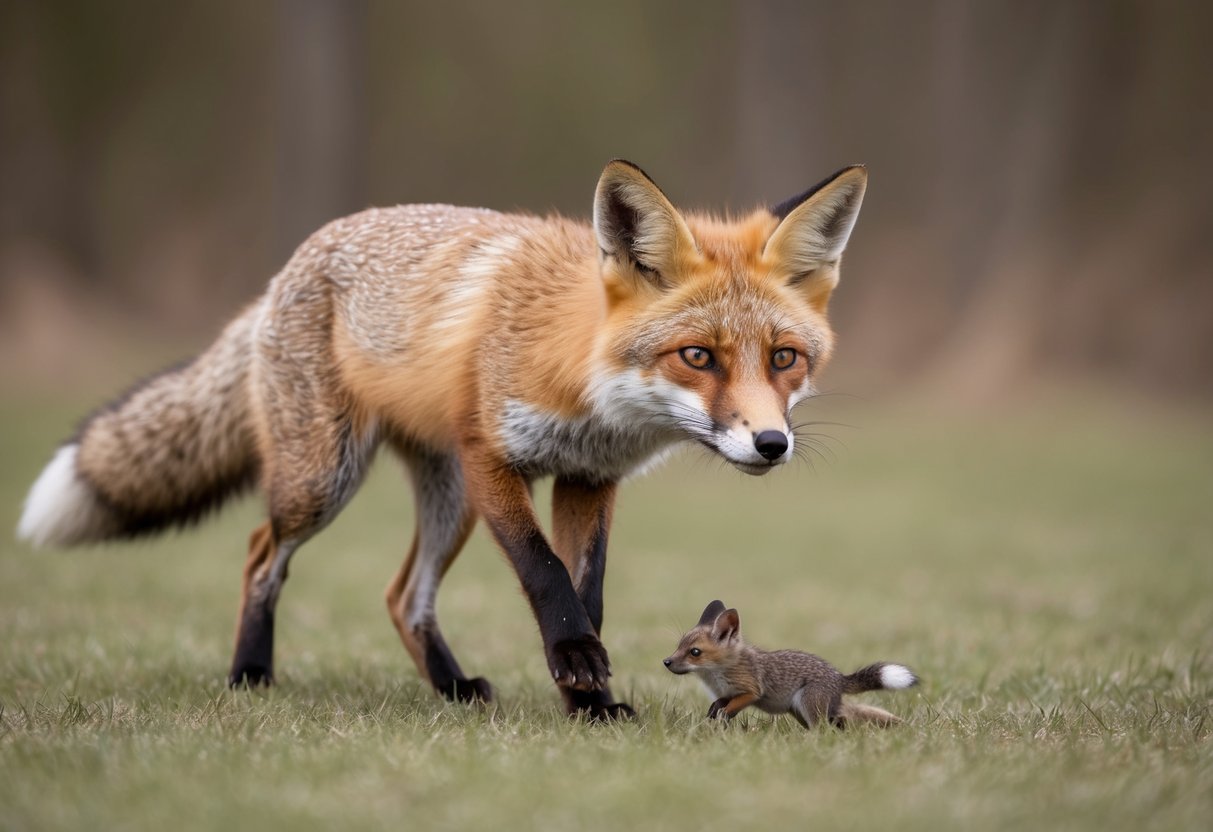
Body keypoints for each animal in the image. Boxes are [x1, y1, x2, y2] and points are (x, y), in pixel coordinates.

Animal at [17, 160, 867, 720]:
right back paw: (251, 672)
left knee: (403, 596)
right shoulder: (492, 458)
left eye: (783, 359)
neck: (585, 387)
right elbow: (546, 576)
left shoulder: (588, 479)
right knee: (262, 553)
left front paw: (589, 702)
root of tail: (287, 268)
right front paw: (576, 668)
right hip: (327, 480)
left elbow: (587, 588)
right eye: (697, 357)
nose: (769, 444)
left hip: (447, 500)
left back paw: (453, 689)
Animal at [664, 601, 918, 728]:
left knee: (825, 731)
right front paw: (715, 713)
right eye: (678, 646)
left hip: (808, 705)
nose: (666, 662)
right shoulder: (727, 693)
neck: (718, 673)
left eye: (695, 652)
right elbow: (720, 703)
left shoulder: (752, 690)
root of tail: (839, 677)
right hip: (806, 712)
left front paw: (724, 715)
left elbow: (735, 705)